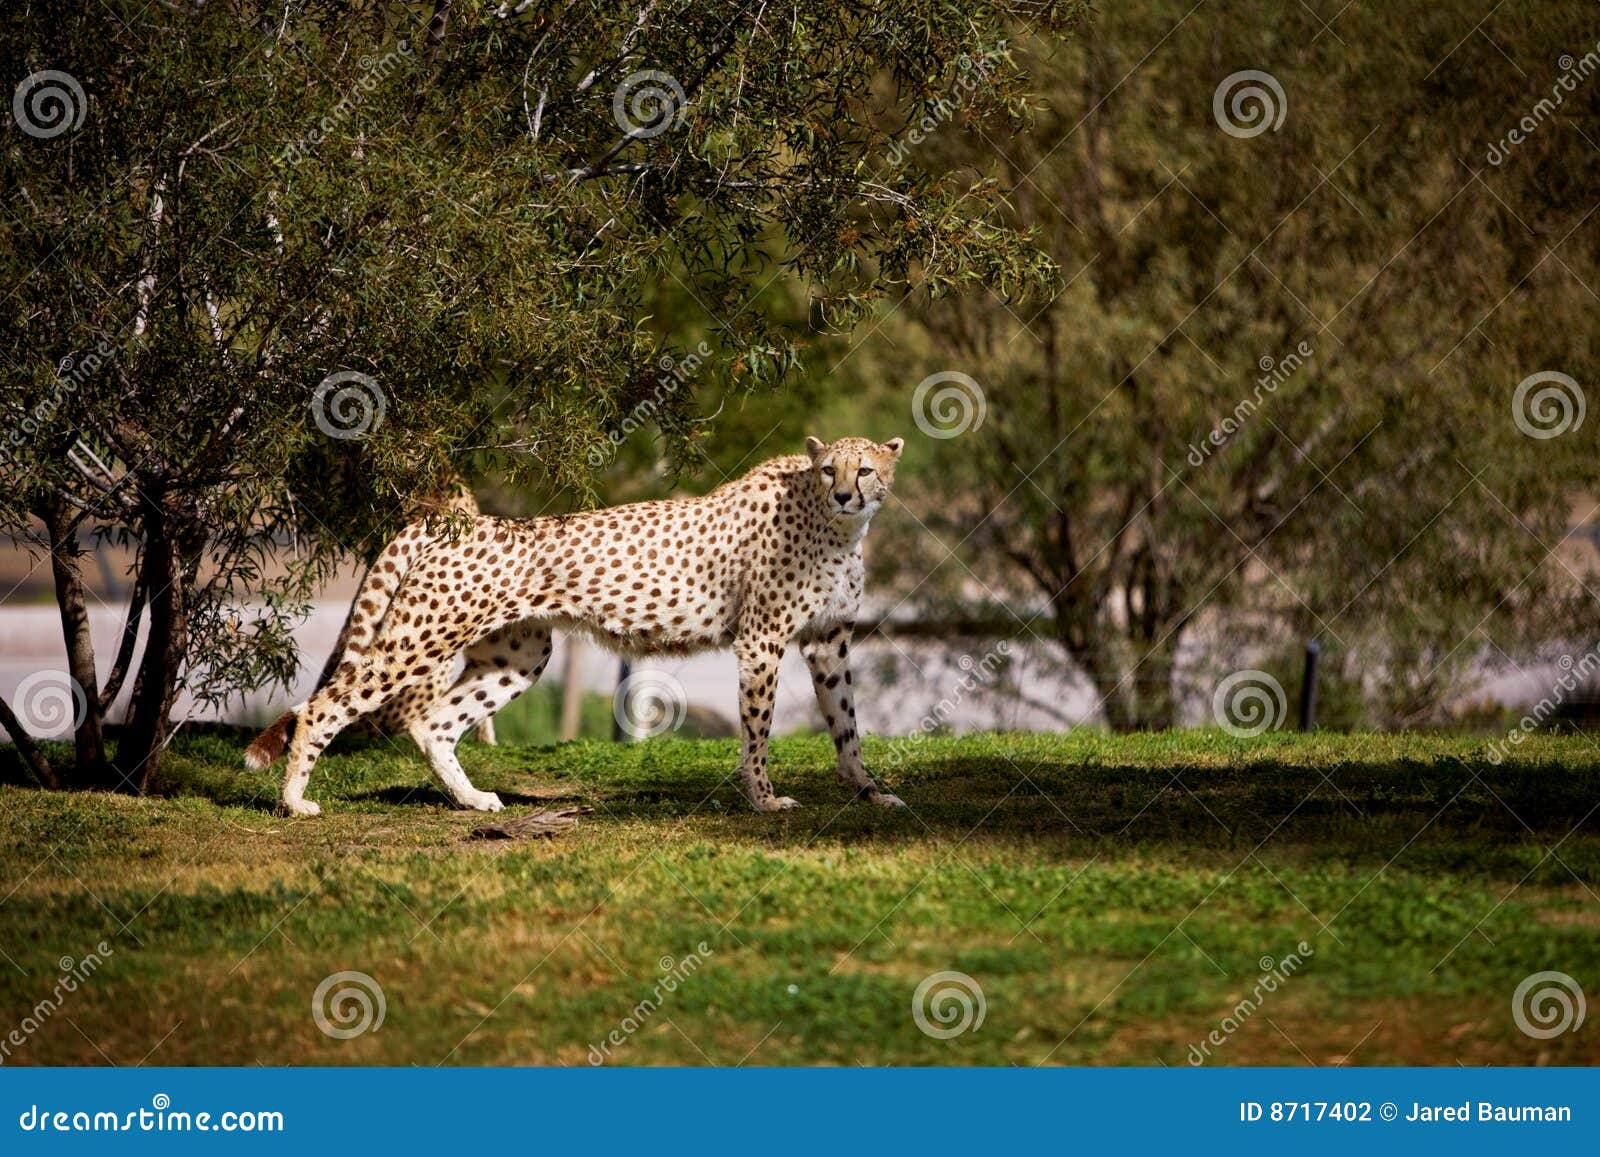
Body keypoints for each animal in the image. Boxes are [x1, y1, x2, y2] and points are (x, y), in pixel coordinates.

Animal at [244, 435, 908, 817]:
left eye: (865, 471)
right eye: (829, 471)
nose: (847, 495)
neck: (834, 526)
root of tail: (457, 521)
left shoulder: (827, 643)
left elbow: (848, 727)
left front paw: (871, 791)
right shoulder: (762, 641)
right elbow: (759, 732)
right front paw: (766, 800)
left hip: (518, 657)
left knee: (432, 723)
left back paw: (475, 800)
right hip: (417, 641)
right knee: (322, 707)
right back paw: (295, 801)